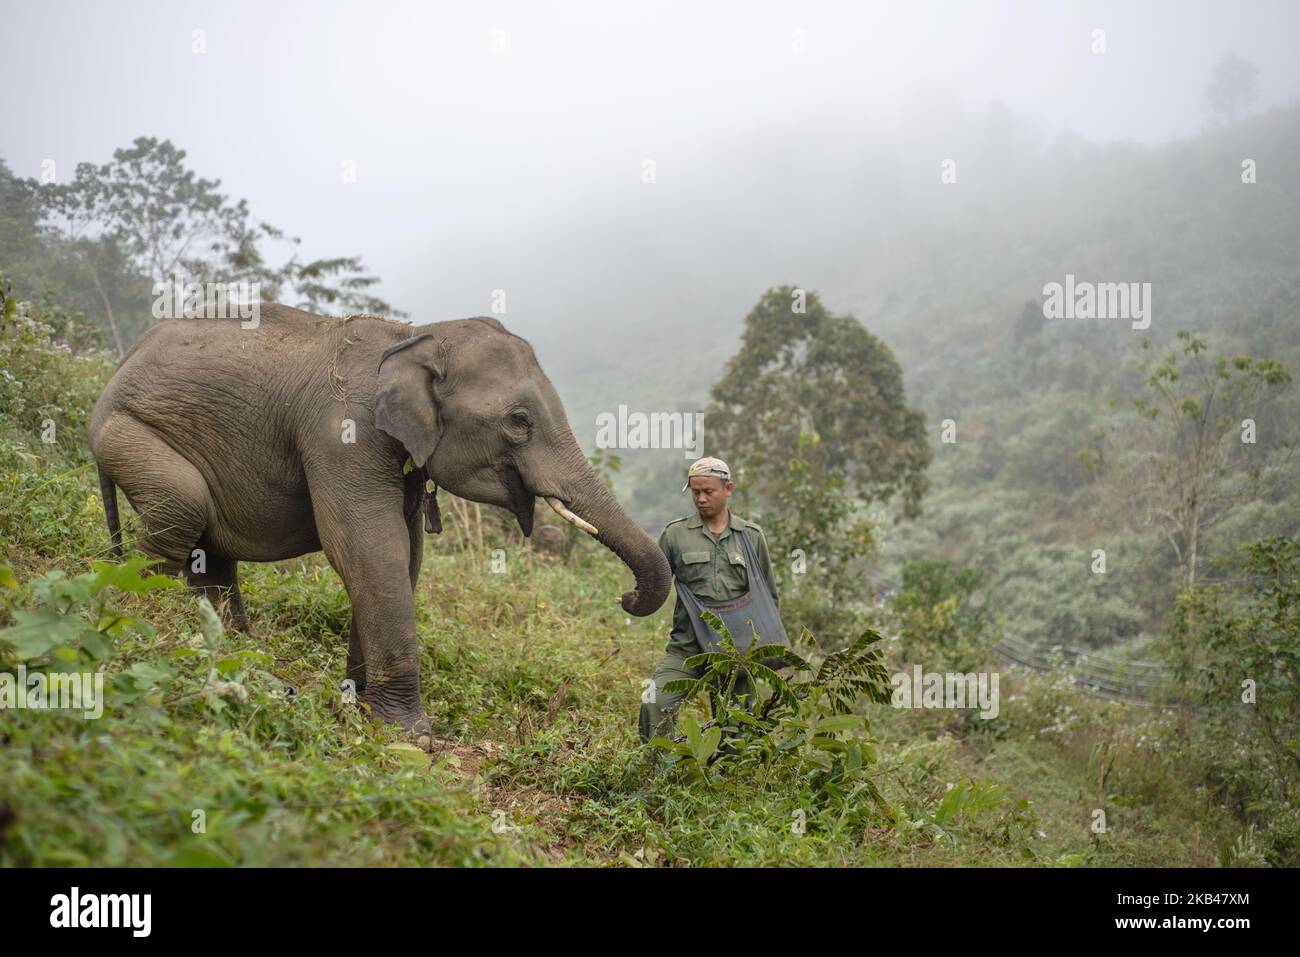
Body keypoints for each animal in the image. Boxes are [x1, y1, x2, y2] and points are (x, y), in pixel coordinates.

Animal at [88, 304, 671, 746]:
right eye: (519, 422)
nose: (625, 598)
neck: (413, 335)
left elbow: (406, 555)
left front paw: (361, 706)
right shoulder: (343, 435)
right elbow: (369, 547)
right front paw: (411, 733)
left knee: (209, 551)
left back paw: (240, 656)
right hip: (128, 429)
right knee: (181, 507)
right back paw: (153, 618)